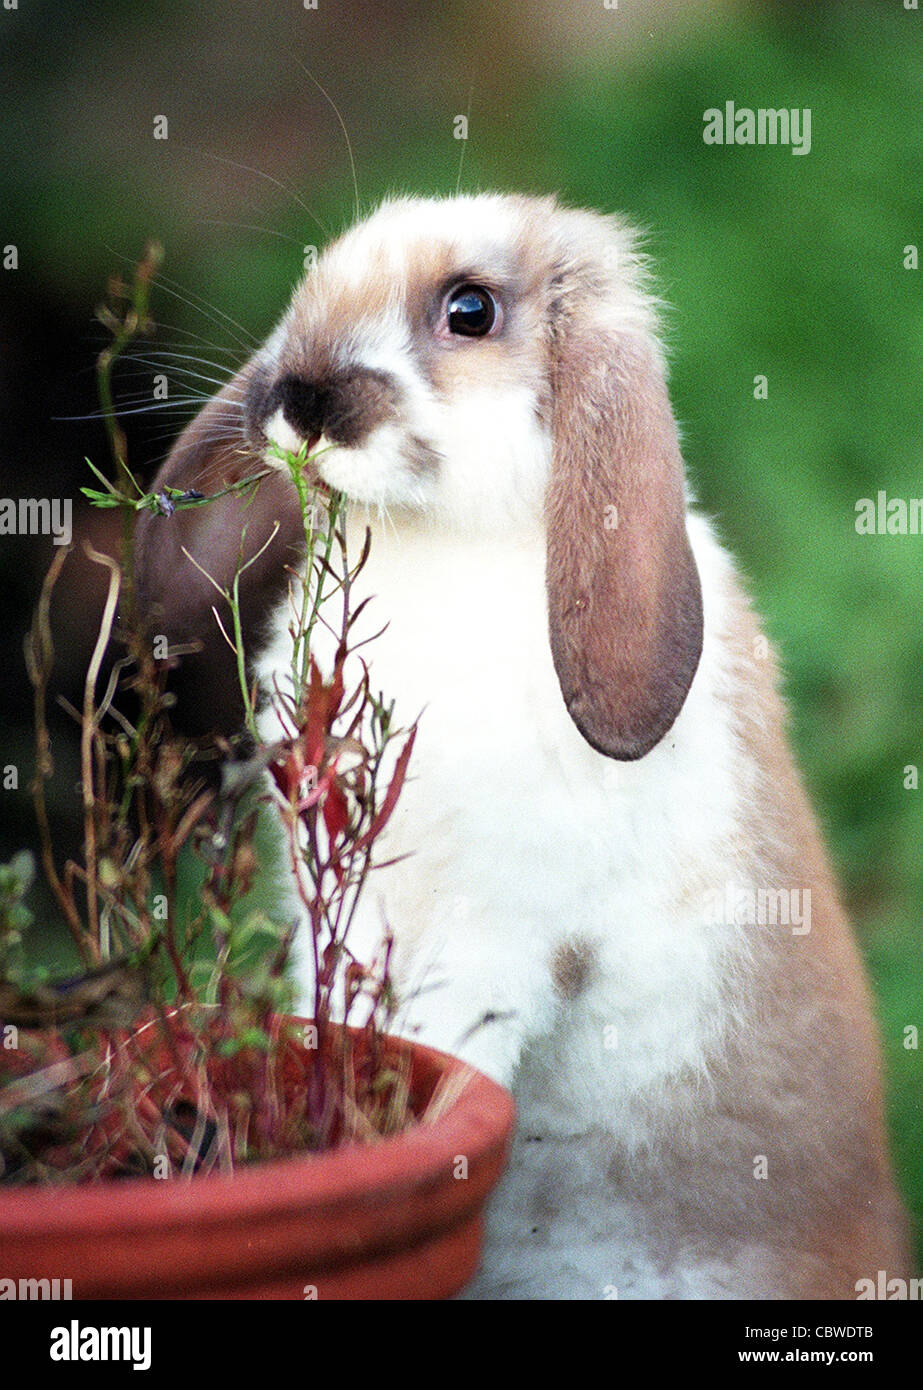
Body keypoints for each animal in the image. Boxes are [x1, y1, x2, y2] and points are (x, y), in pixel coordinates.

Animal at [136, 192, 912, 1299]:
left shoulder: (496, 938)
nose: (298, 398)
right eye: (312, 278)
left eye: (469, 310)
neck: (439, 544)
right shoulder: (346, 920)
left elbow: (431, 1055)